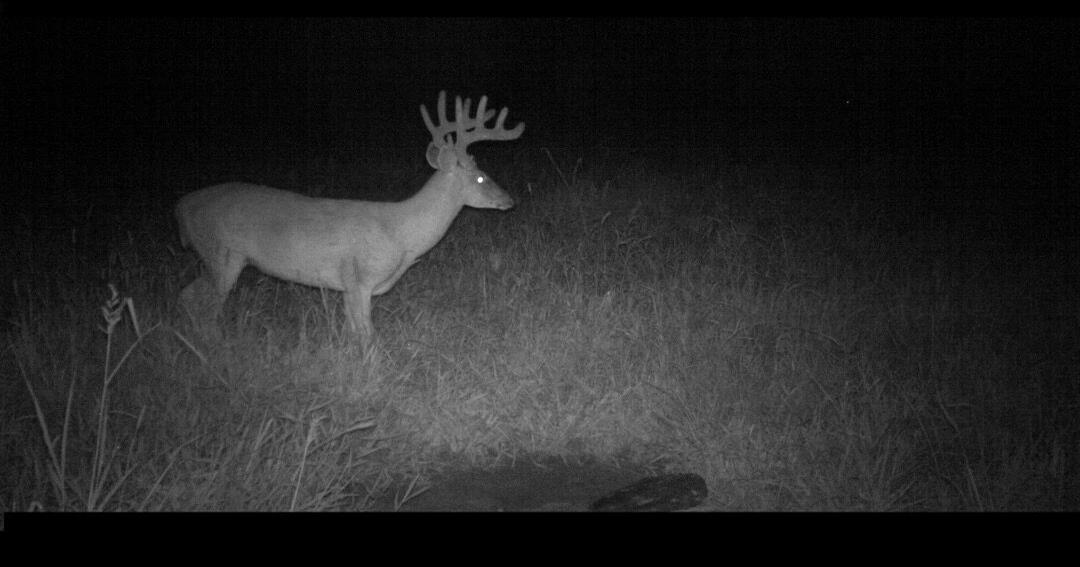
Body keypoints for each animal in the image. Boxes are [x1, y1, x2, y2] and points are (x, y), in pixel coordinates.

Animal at [175, 91, 524, 345]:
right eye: (480, 177)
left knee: (188, 296)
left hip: (216, 258)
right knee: (203, 305)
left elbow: (352, 335)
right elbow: (367, 337)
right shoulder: (359, 279)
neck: (401, 234)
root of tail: (180, 207)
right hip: (223, 254)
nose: (509, 200)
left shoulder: (345, 287)